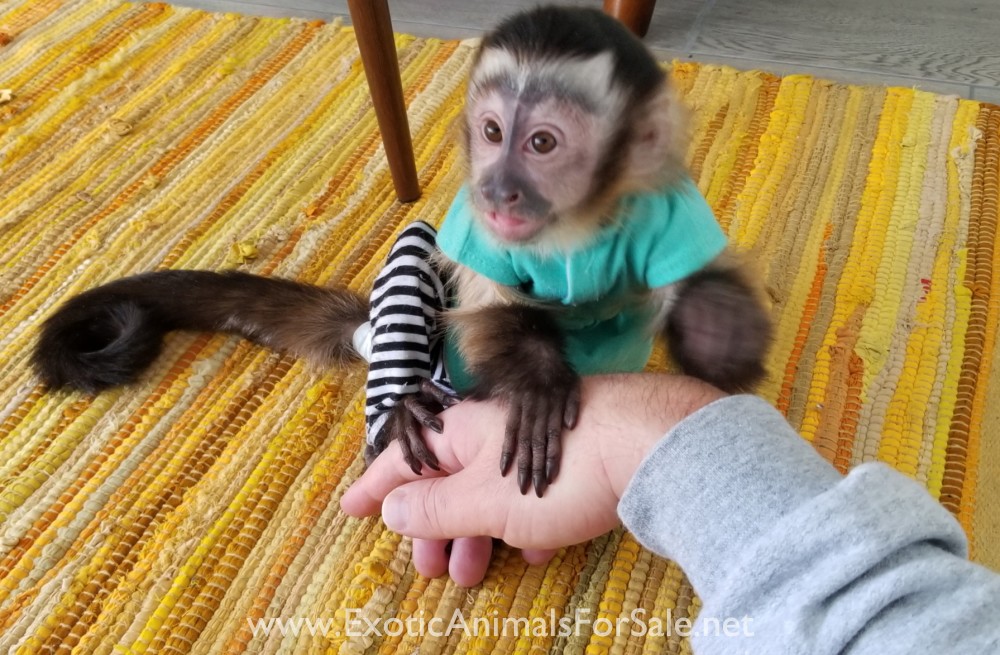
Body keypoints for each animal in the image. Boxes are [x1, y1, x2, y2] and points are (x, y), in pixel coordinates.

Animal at [32, 6, 771, 499]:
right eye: (492, 131)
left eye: (542, 143)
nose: (497, 186)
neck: (570, 230)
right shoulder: (477, 225)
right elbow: (484, 308)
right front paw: (538, 384)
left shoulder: (670, 212)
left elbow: (714, 360)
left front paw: (715, 320)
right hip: (434, 364)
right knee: (417, 247)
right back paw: (400, 415)